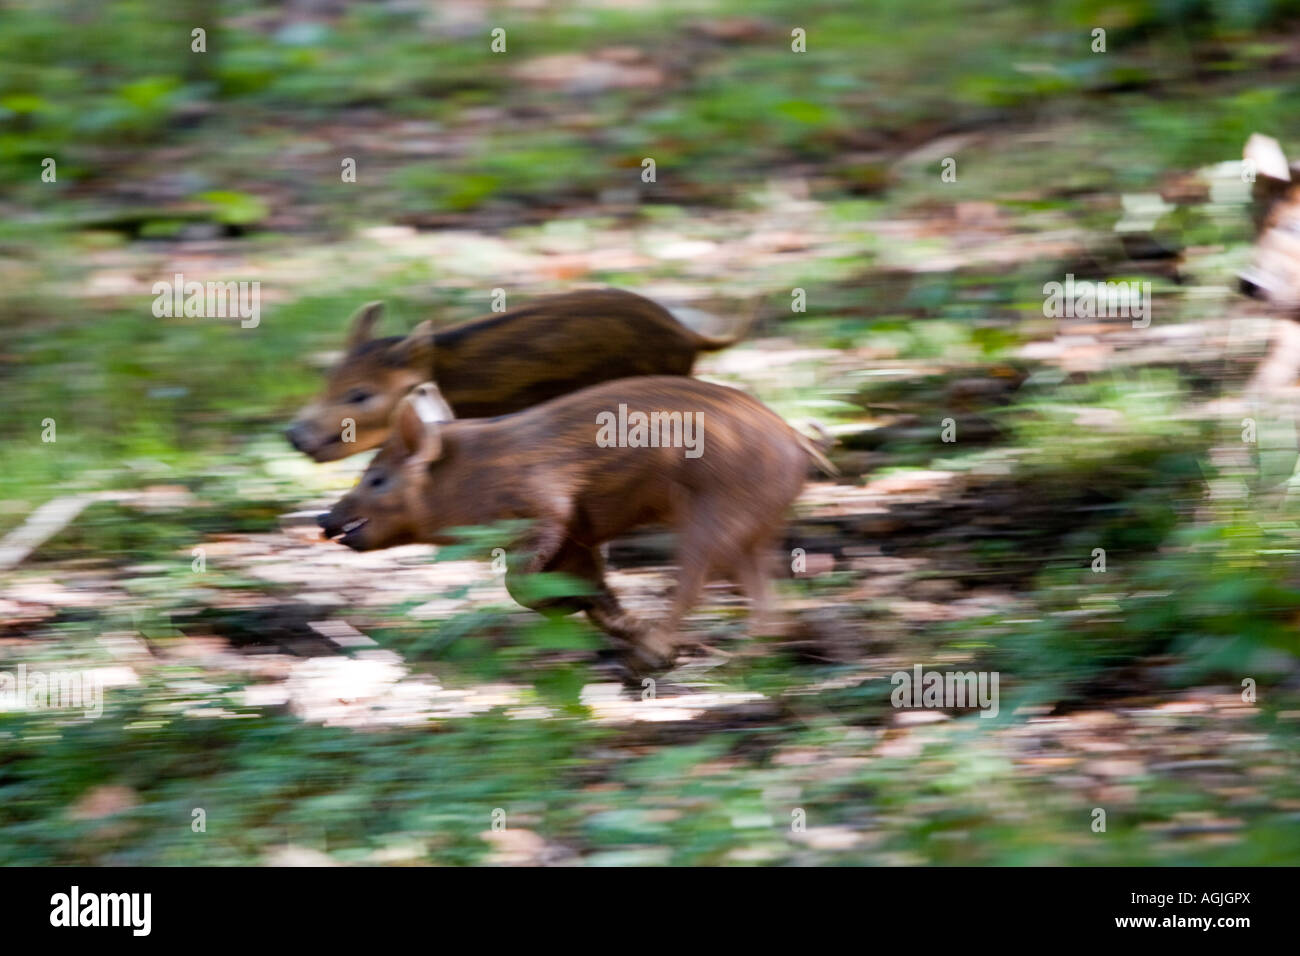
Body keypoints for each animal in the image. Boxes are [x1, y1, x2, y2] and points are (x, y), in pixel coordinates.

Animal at [318, 376, 835, 672]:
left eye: (377, 479)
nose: (324, 518)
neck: (468, 479)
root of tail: (795, 439)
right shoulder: (578, 540)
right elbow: (593, 591)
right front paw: (591, 611)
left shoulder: (549, 508)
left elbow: (519, 584)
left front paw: (574, 610)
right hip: (755, 528)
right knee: (768, 602)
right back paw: (737, 657)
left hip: (713, 518)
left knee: (696, 586)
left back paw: (662, 657)